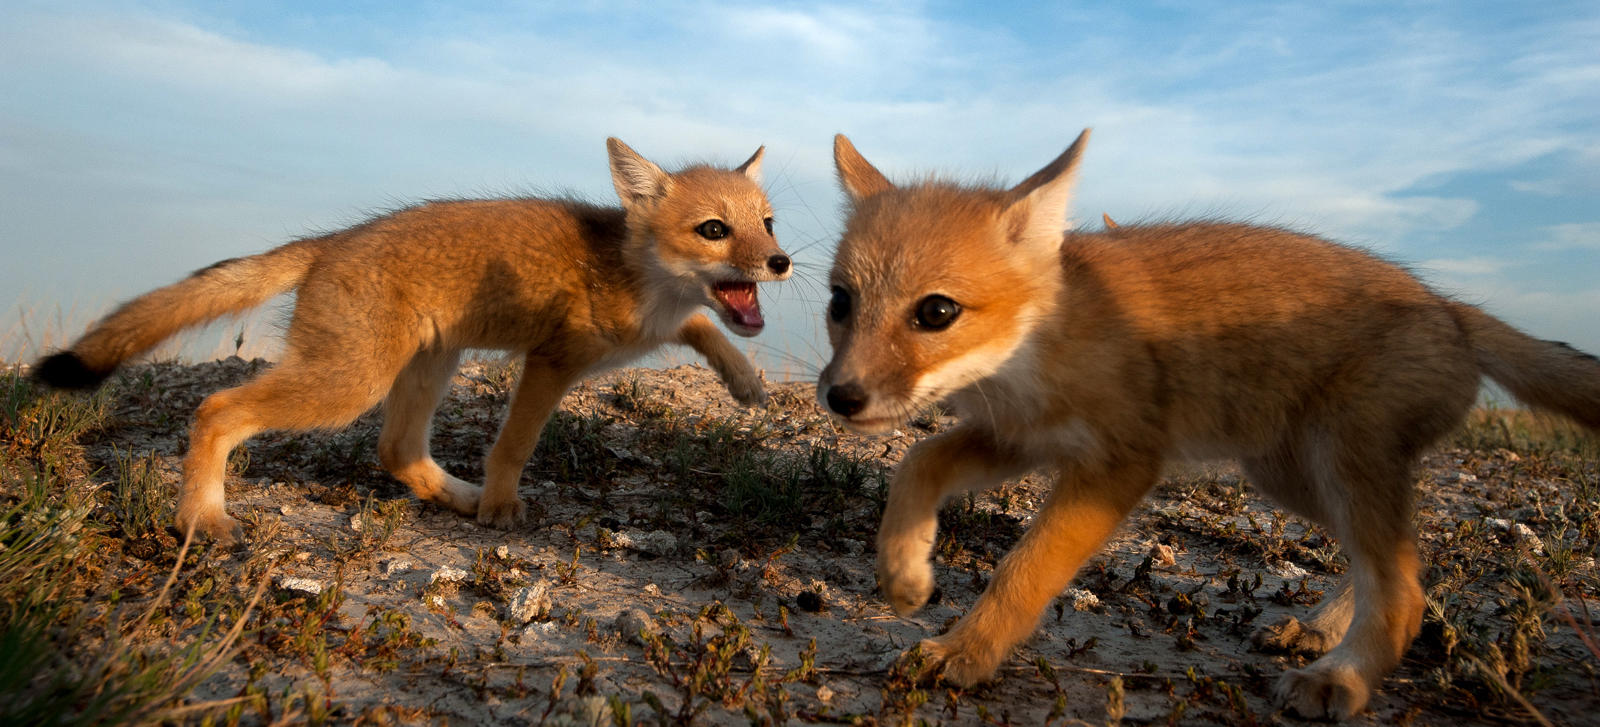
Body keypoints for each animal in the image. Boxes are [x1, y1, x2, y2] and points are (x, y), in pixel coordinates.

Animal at [35, 138, 791, 545]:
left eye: (769, 223)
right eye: (714, 230)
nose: (782, 263)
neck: (638, 277)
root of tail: (333, 240)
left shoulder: (674, 322)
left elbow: (708, 326)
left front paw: (745, 380)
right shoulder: (550, 362)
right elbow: (514, 445)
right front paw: (500, 506)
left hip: (428, 365)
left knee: (395, 450)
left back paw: (455, 495)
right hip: (350, 383)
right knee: (216, 409)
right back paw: (202, 516)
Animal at [817, 129, 1600, 719]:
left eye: (936, 312)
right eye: (840, 302)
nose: (840, 396)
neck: (1043, 345)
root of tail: (1451, 308)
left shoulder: (1120, 465)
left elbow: (1024, 570)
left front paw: (966, 651)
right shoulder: (1017, 438)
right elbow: (916, 465)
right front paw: (905, 574)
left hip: (1338, 467)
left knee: (1404, 589)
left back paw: (1341, 678)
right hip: (1291, 475)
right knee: (1411, 562)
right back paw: (1321, 631)